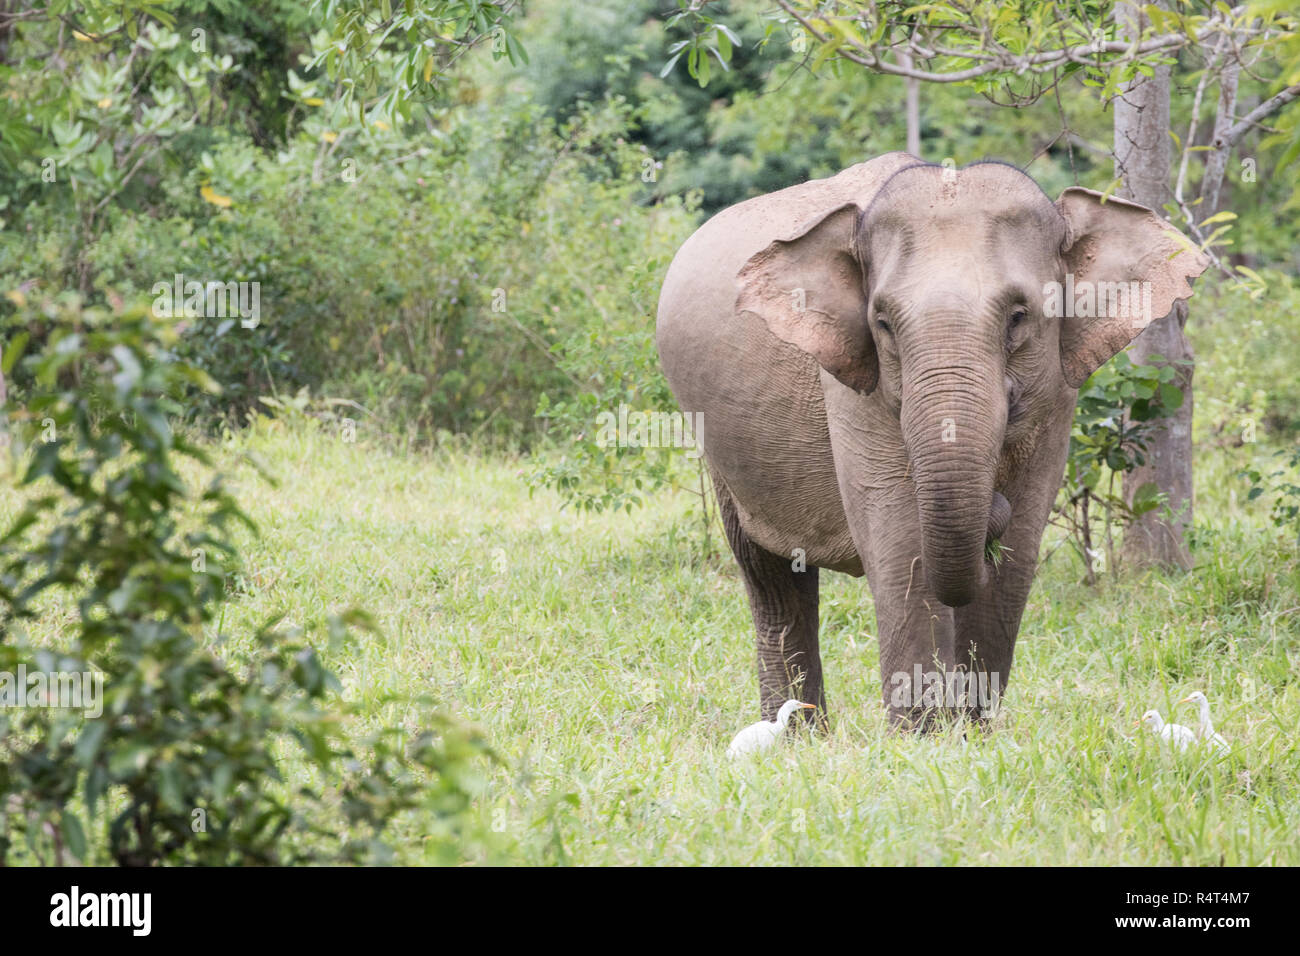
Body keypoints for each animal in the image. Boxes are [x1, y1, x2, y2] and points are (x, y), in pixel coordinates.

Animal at [656, 153, 1208, 730]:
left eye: (1019, 317)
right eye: (883, 323)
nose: (992, 508)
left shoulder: (1058, 388)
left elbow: (1019, 546)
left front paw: (972, 734)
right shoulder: (854, 383)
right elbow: (901, 536)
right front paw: (919, 738)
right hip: (716, 443)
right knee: (769, 573)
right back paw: (795, 736)